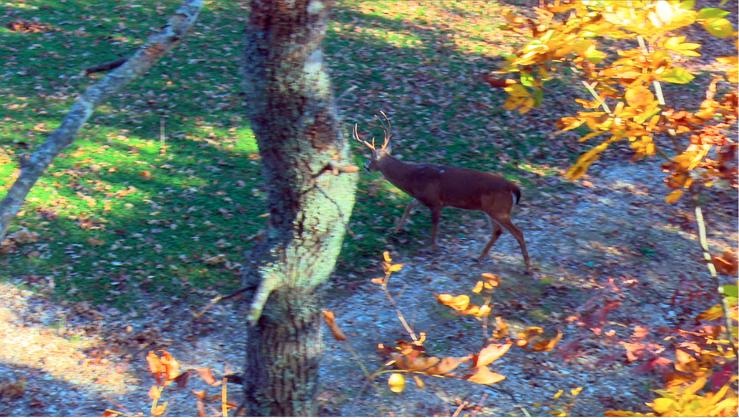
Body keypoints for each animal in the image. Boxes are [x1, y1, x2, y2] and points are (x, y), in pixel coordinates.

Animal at [353, 114, 531, 273]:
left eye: (372, 158)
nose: (366, 167)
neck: (413, 178)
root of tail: (513, 187)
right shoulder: (422, 197)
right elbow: (409, 206)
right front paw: (397, 230)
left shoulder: (435, 201)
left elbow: (434, 225)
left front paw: (433, 248)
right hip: (490, 210)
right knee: (498, 231)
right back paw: (479, 258)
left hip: (499, 210)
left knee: (518, 232)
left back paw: (527, 268)